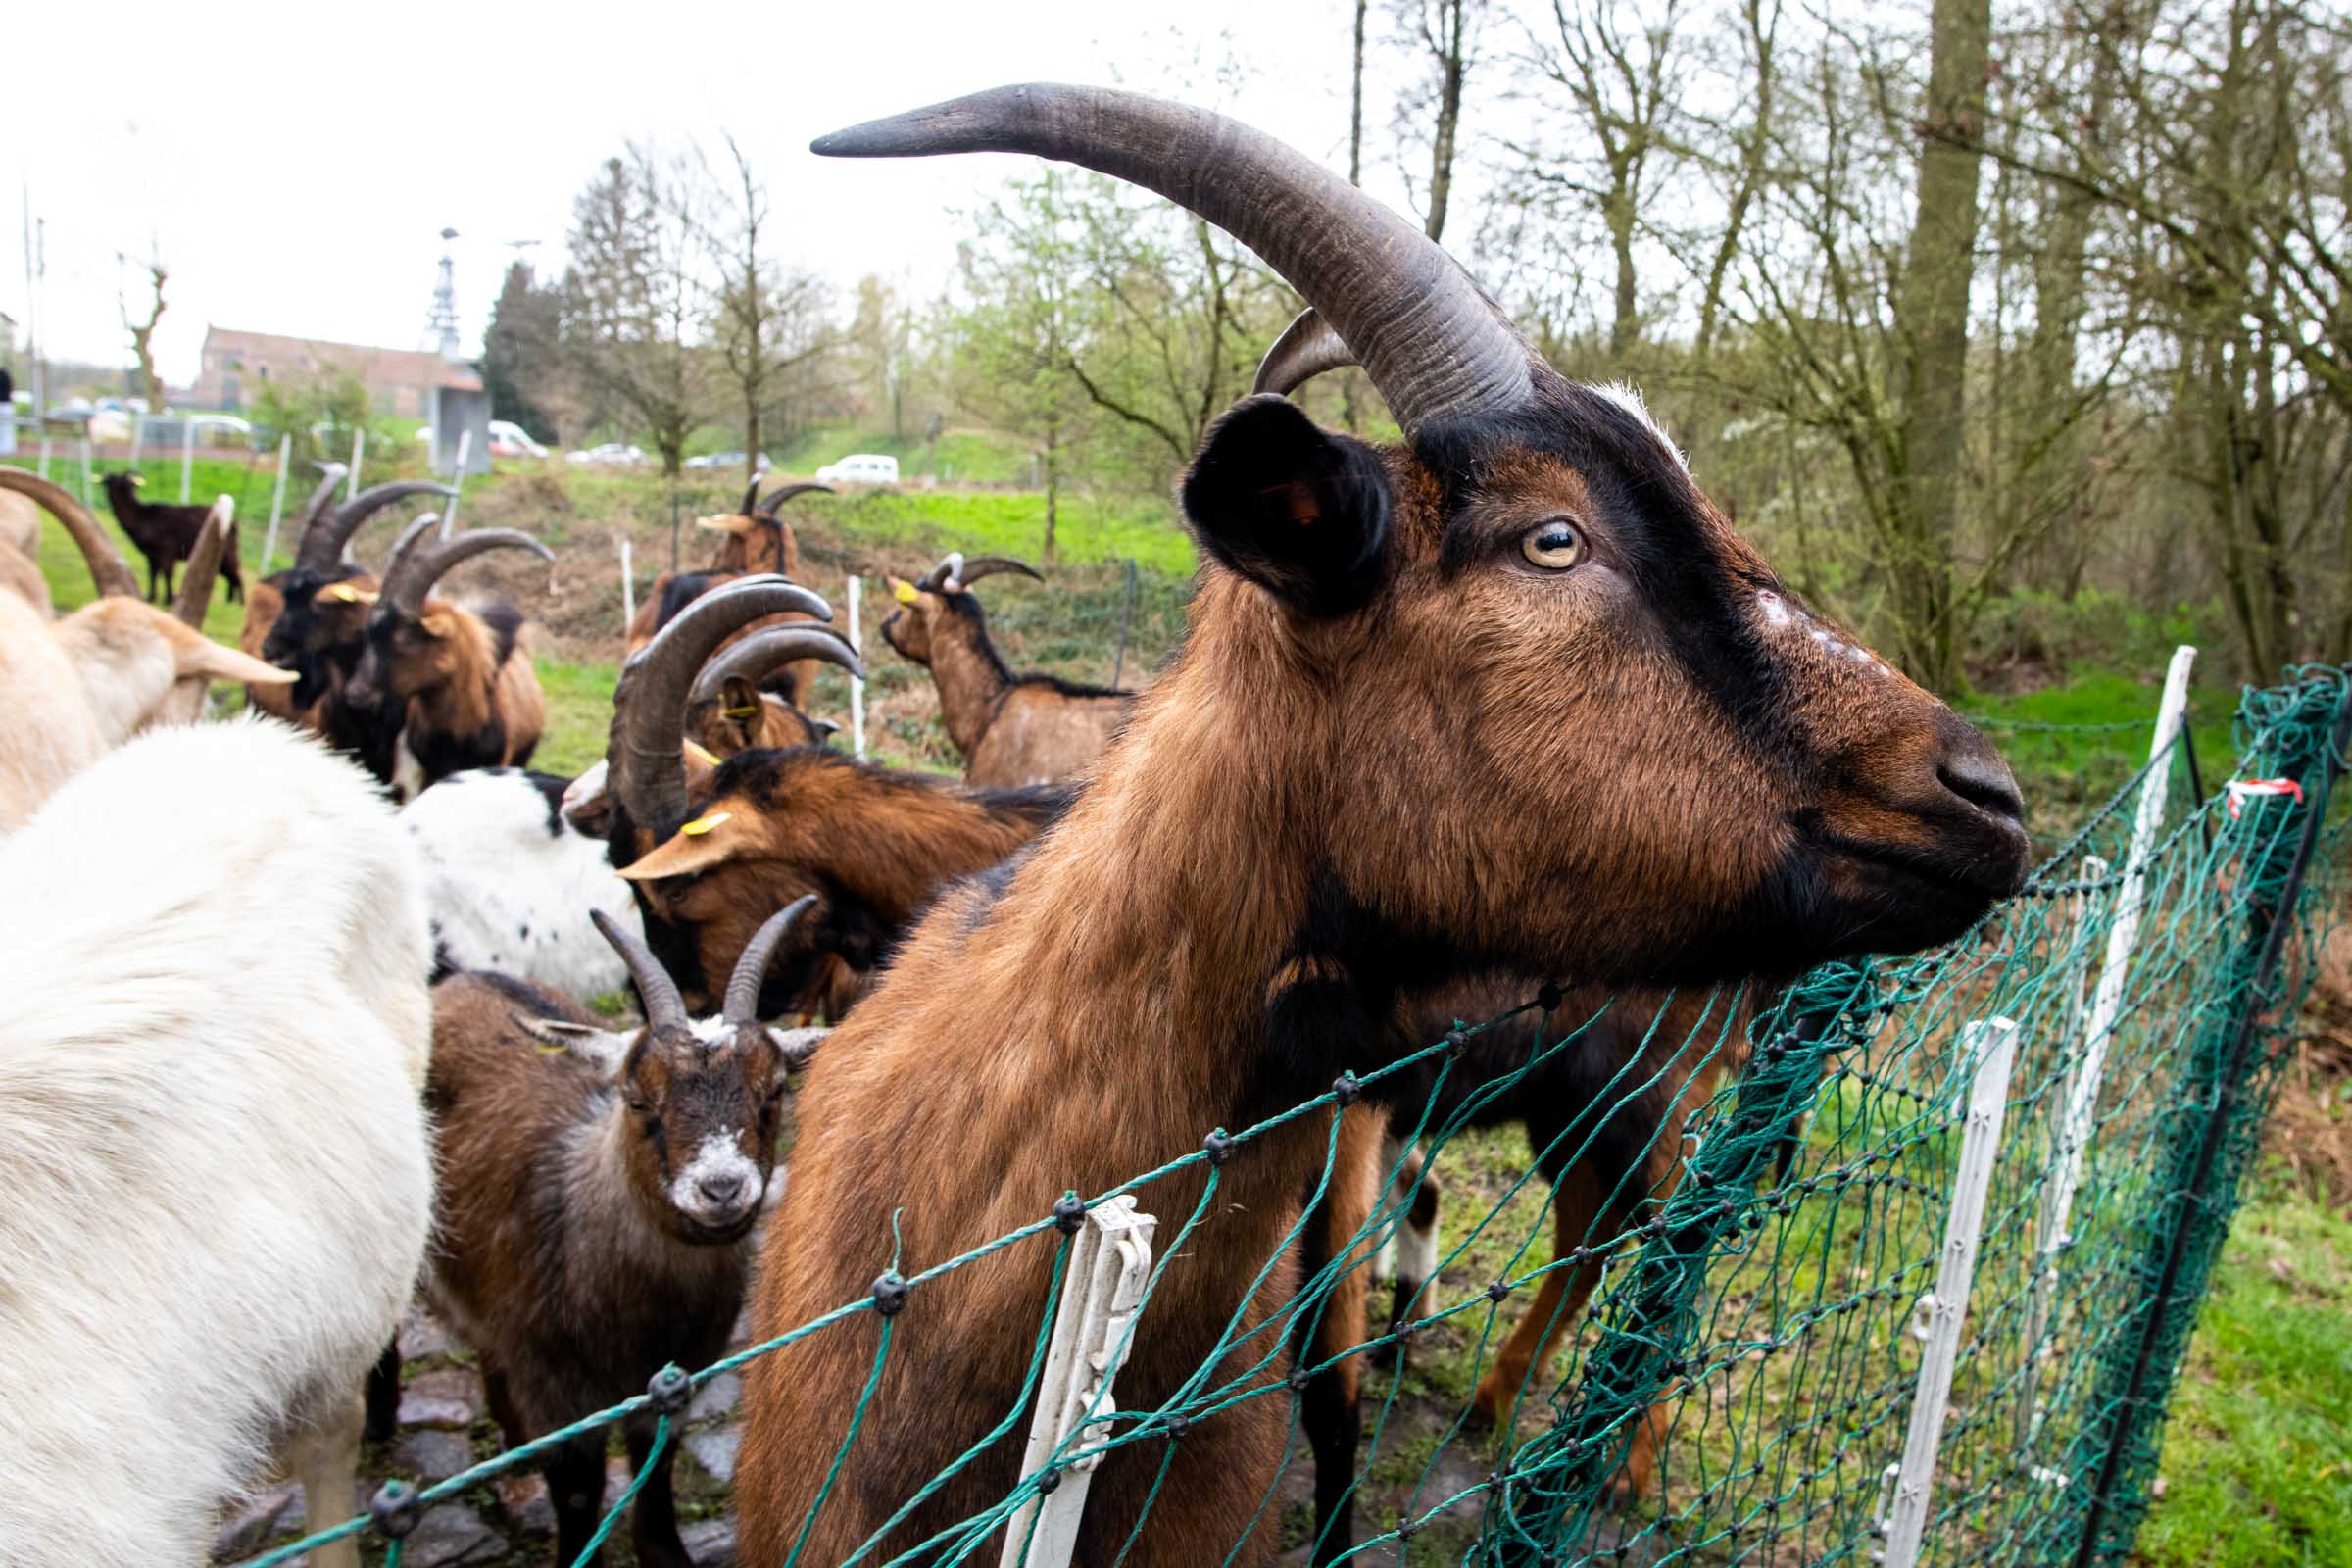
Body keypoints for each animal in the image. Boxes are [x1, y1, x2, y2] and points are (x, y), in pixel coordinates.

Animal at [100, 468, 244, 606]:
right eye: (109, 480)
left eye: (117, 481)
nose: (107, 479)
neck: (143, 517)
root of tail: (234, 523)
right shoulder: (152, 555)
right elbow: (152, 573)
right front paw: (151, 597)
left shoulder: (167, 551)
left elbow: (167, 573)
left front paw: (168, 599)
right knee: (232, 577)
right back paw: (230, 601)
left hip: (227, 554)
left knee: (237, 576)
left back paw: (240, 603)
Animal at [425, 900, 821, 1568]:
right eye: (638, 1101)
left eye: (773, 1092)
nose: (721, 1189)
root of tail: (461, 979)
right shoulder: (557, 1391)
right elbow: (579, 1496)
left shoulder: (678, 1377)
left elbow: (655, 1469)